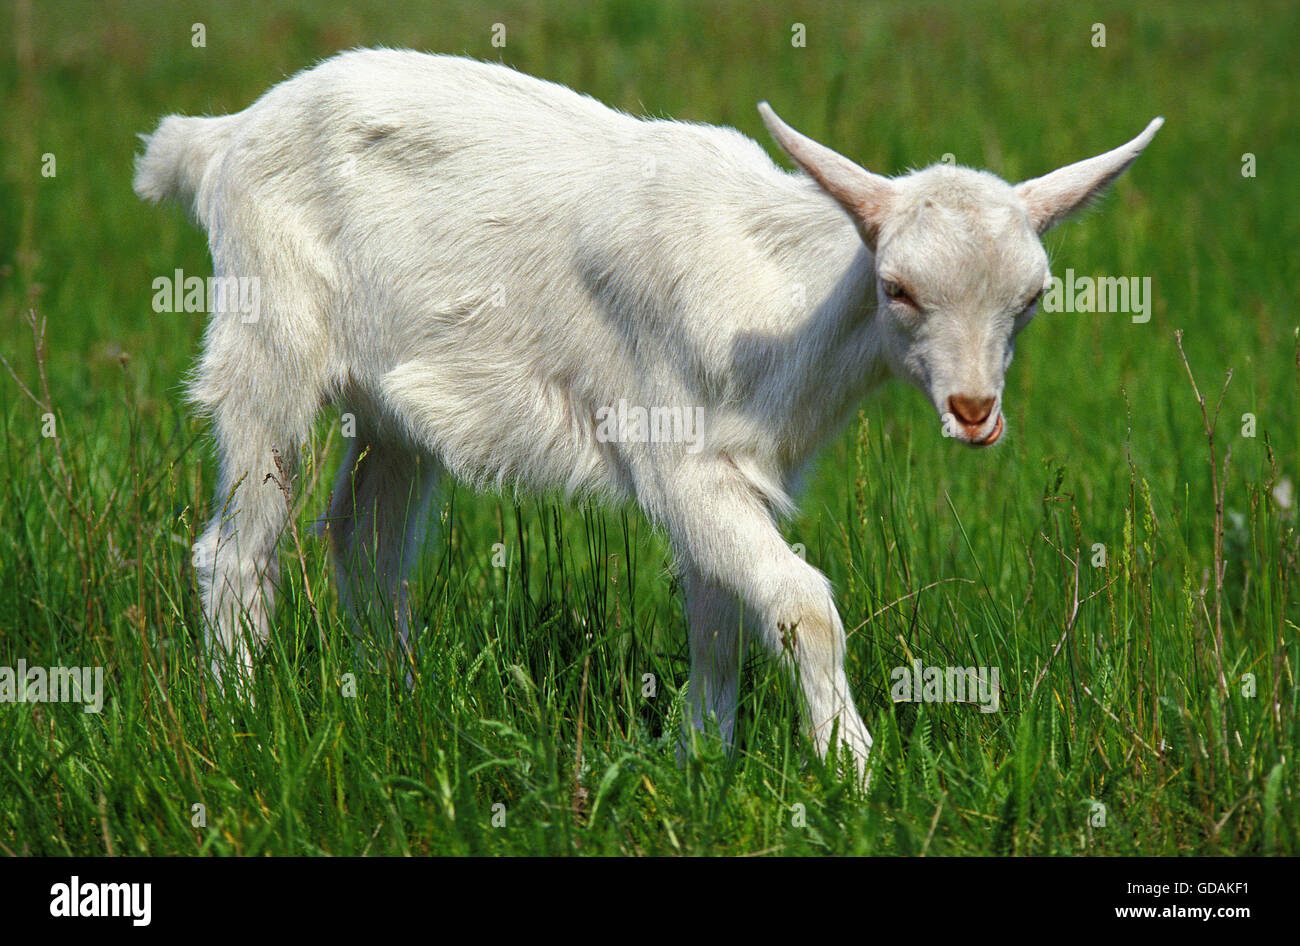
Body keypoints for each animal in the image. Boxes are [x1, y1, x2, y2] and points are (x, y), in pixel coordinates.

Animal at [135, 49, 1161, 781]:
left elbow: (720, 611)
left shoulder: (741, 468)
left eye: (1032, 297)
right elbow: (800, 602)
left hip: (394, 403)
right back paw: (236, 714)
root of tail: (220, 137)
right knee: (239, 545)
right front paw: (854, 770)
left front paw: (699, 754)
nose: (974, 411)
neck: (781, 301)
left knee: (367, 537)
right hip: (266, 341)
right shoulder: (677, 455)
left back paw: (398, 693)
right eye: (899, 288)